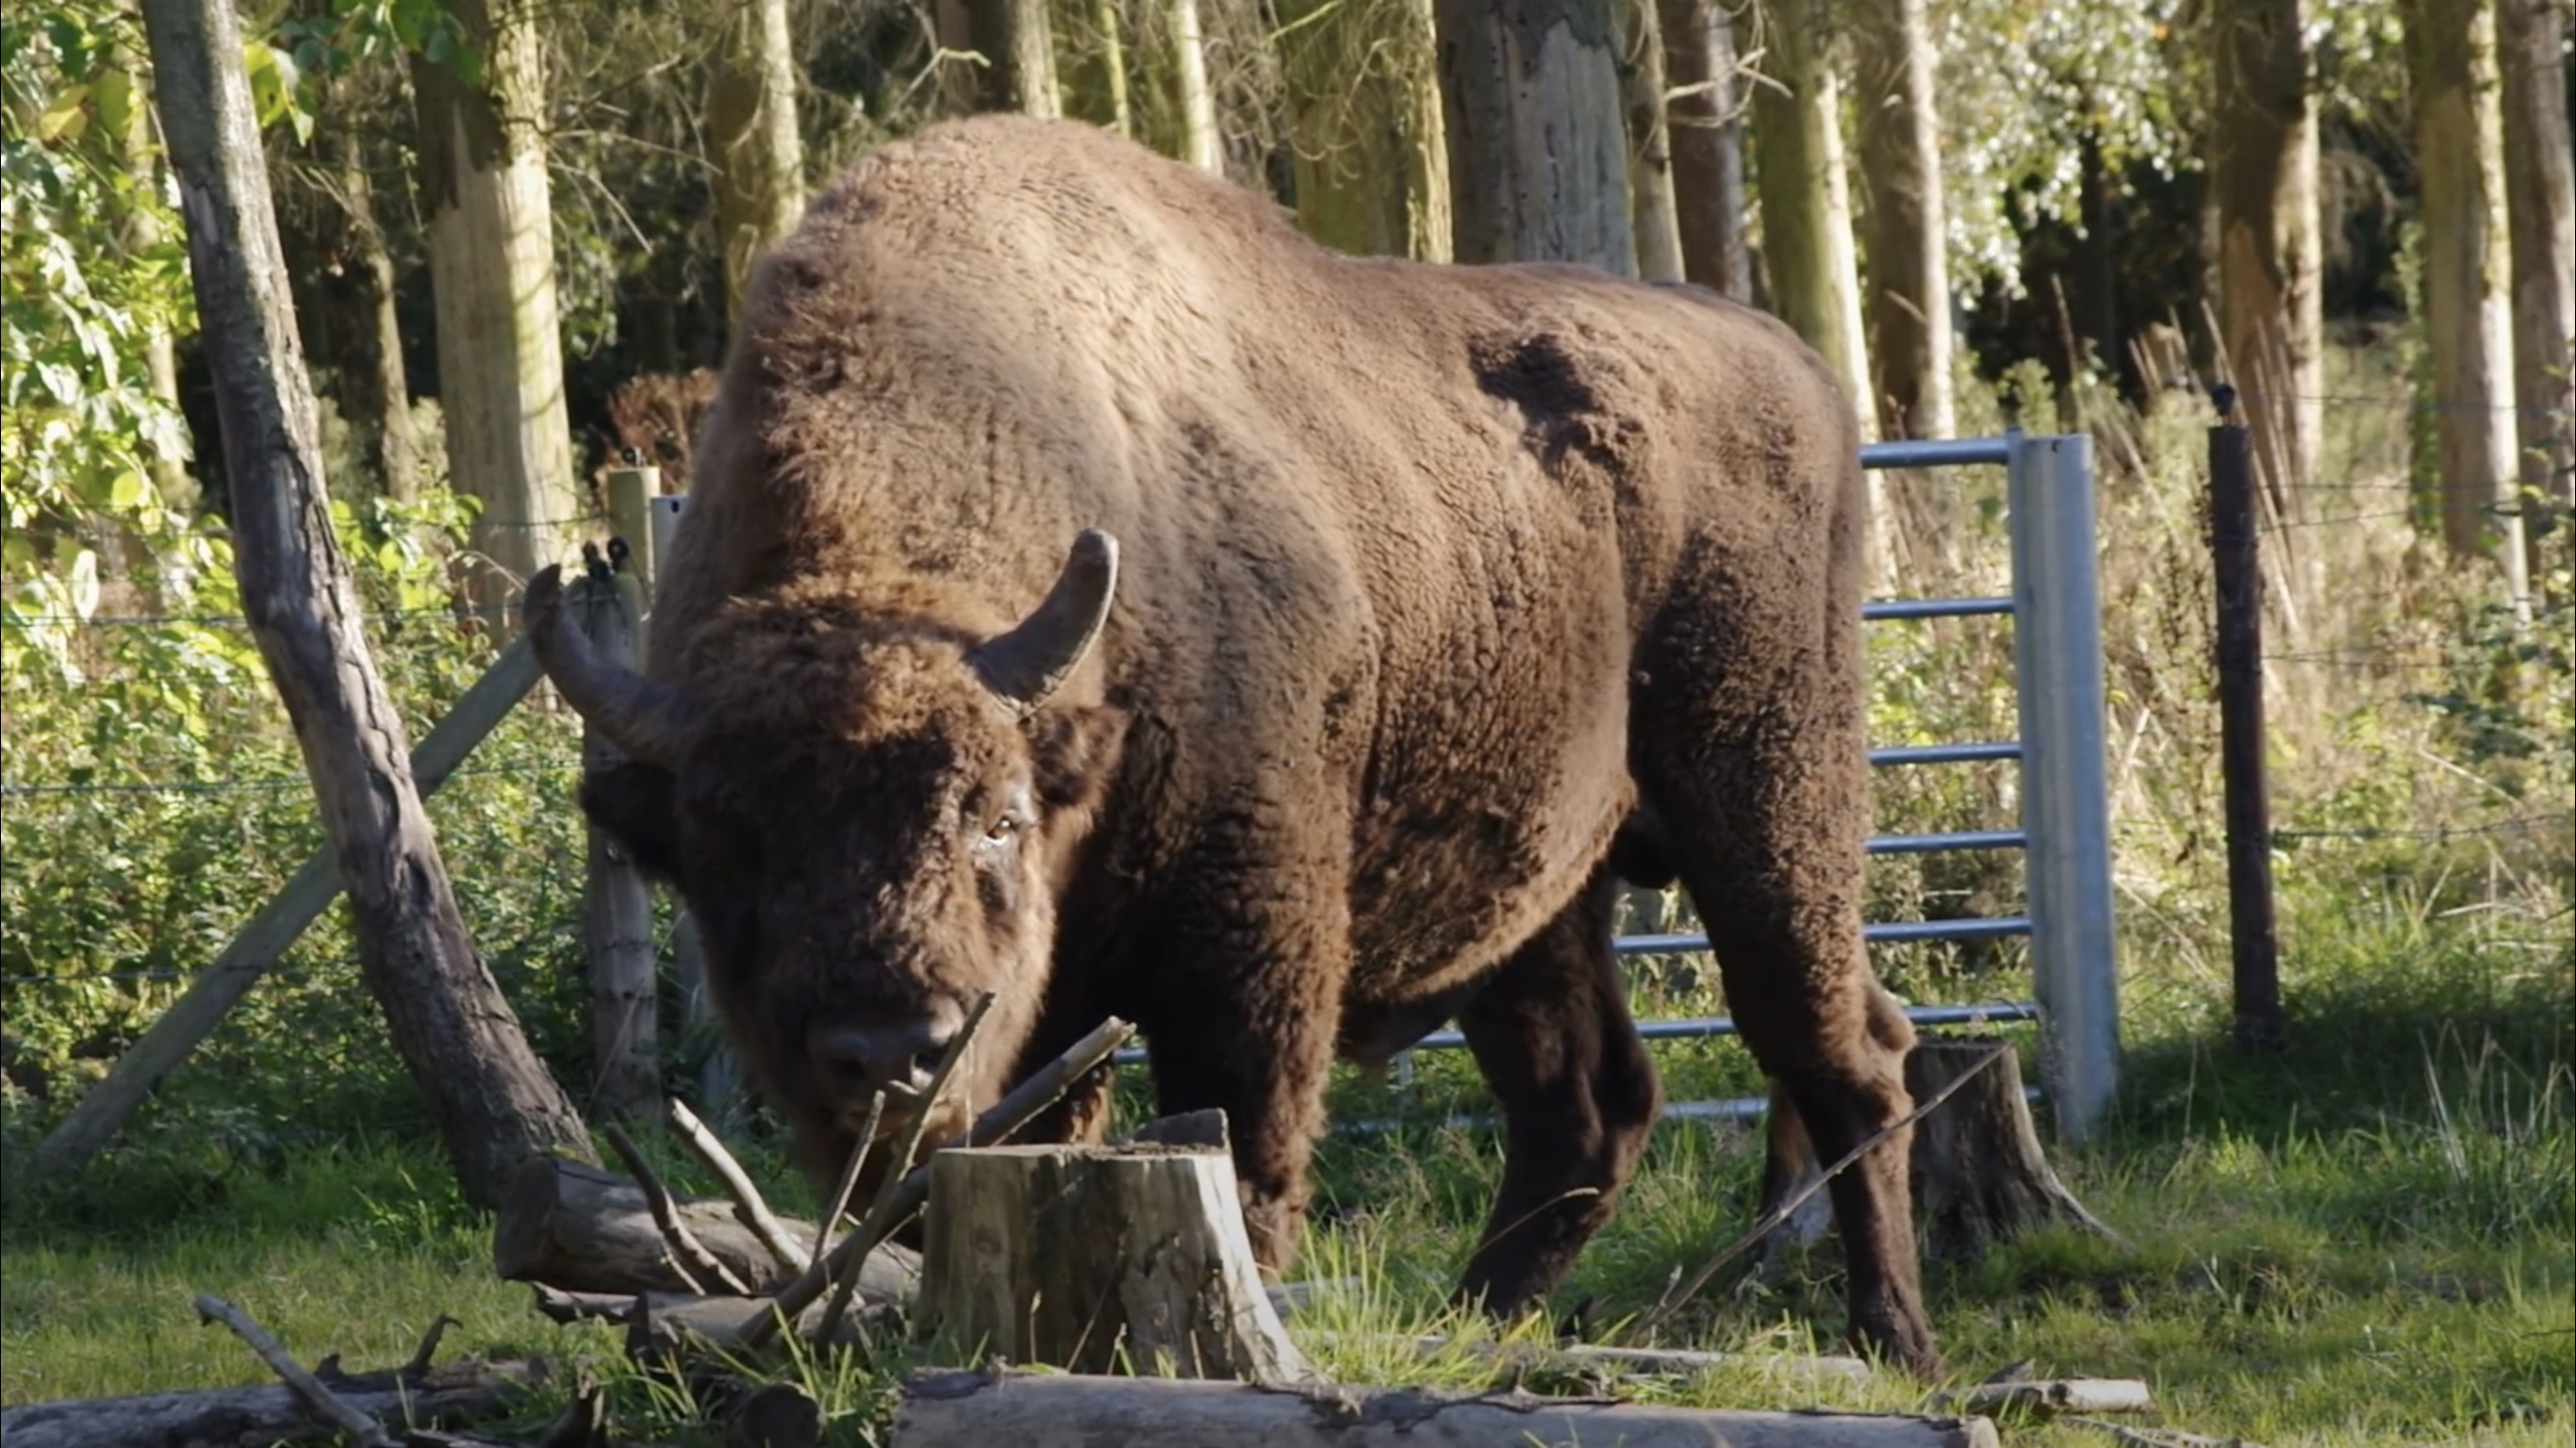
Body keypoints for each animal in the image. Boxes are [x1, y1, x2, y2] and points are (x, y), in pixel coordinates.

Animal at [524, 115, 1937, 1372]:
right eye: (728, 852)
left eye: (998, 818)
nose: (886, 1051)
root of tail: (1796, 364)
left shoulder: (1247, 940)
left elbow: (1241, 1145)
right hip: (1540, 893)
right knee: (1587, 1102)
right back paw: (1474, 1327)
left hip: (1767, 801)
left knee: (1844, 1052)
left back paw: (1894, 1340)